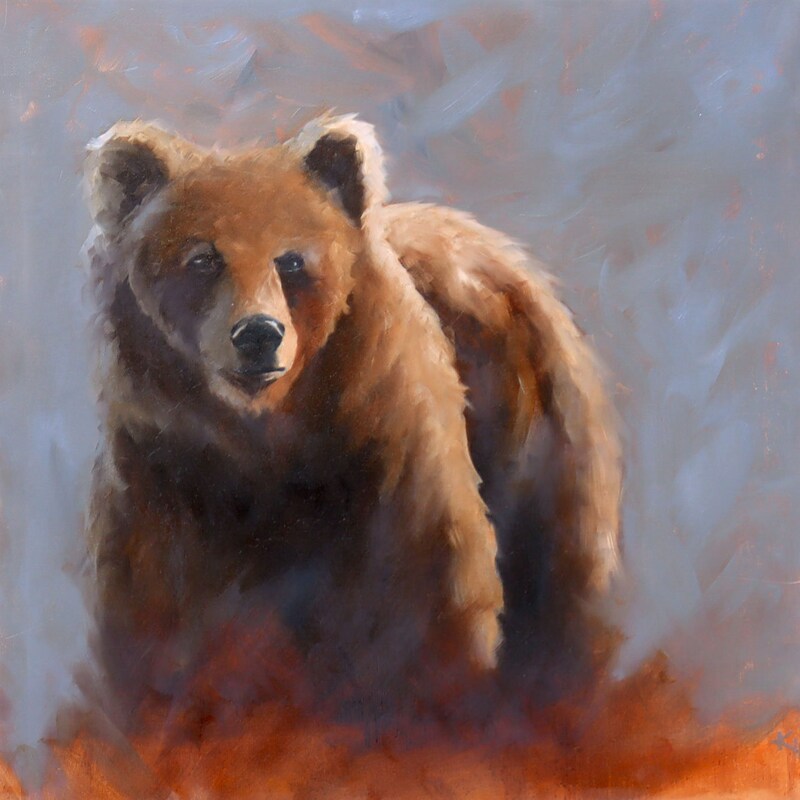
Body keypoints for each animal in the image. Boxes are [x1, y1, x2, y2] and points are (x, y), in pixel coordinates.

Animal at [82, 114, 621, 727]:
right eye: (203, 259)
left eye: (291, 260)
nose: (258, 334)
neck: (269, 432)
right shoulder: (164, 460)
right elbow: (151, 596)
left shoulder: (385, 431)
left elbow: (432, 571)